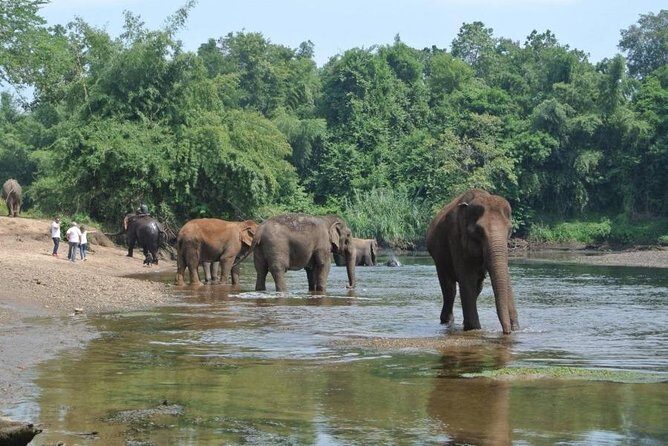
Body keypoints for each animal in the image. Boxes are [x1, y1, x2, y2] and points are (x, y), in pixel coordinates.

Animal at [426, 189, 519, 334]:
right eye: (479, 231)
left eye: (509, 230)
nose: (508, 331)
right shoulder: (455, 238)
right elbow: (467, 278)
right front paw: (474, 328)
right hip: (438, 257)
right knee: (449, 288)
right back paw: (447, 321)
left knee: (477, 286)